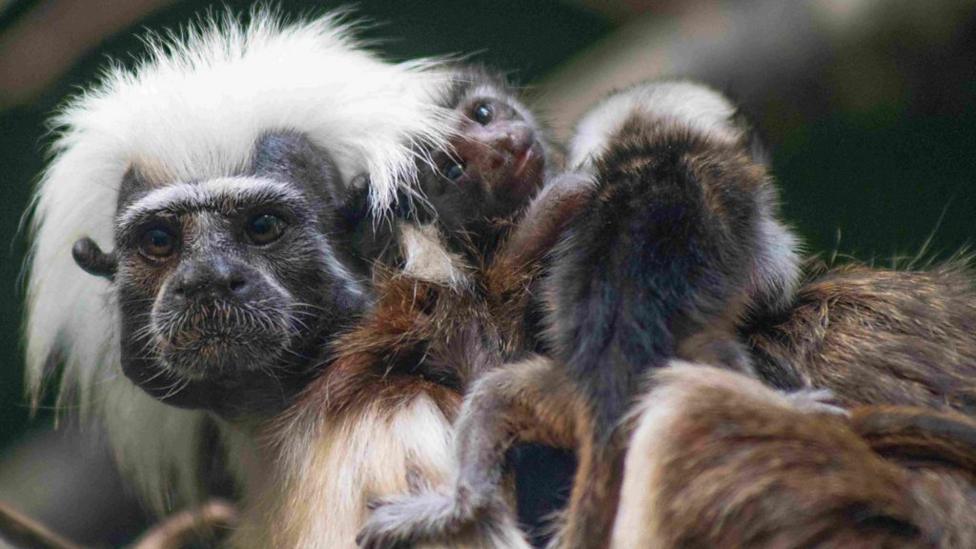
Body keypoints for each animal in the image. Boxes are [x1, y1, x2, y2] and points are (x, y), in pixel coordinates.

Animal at [357, 80, 802, 549]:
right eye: (455, 169)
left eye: (483, 114)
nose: (503, 145)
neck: (647, 143)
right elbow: (772, 283)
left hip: (558, 392)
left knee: (492, 395)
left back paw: (457, 504)